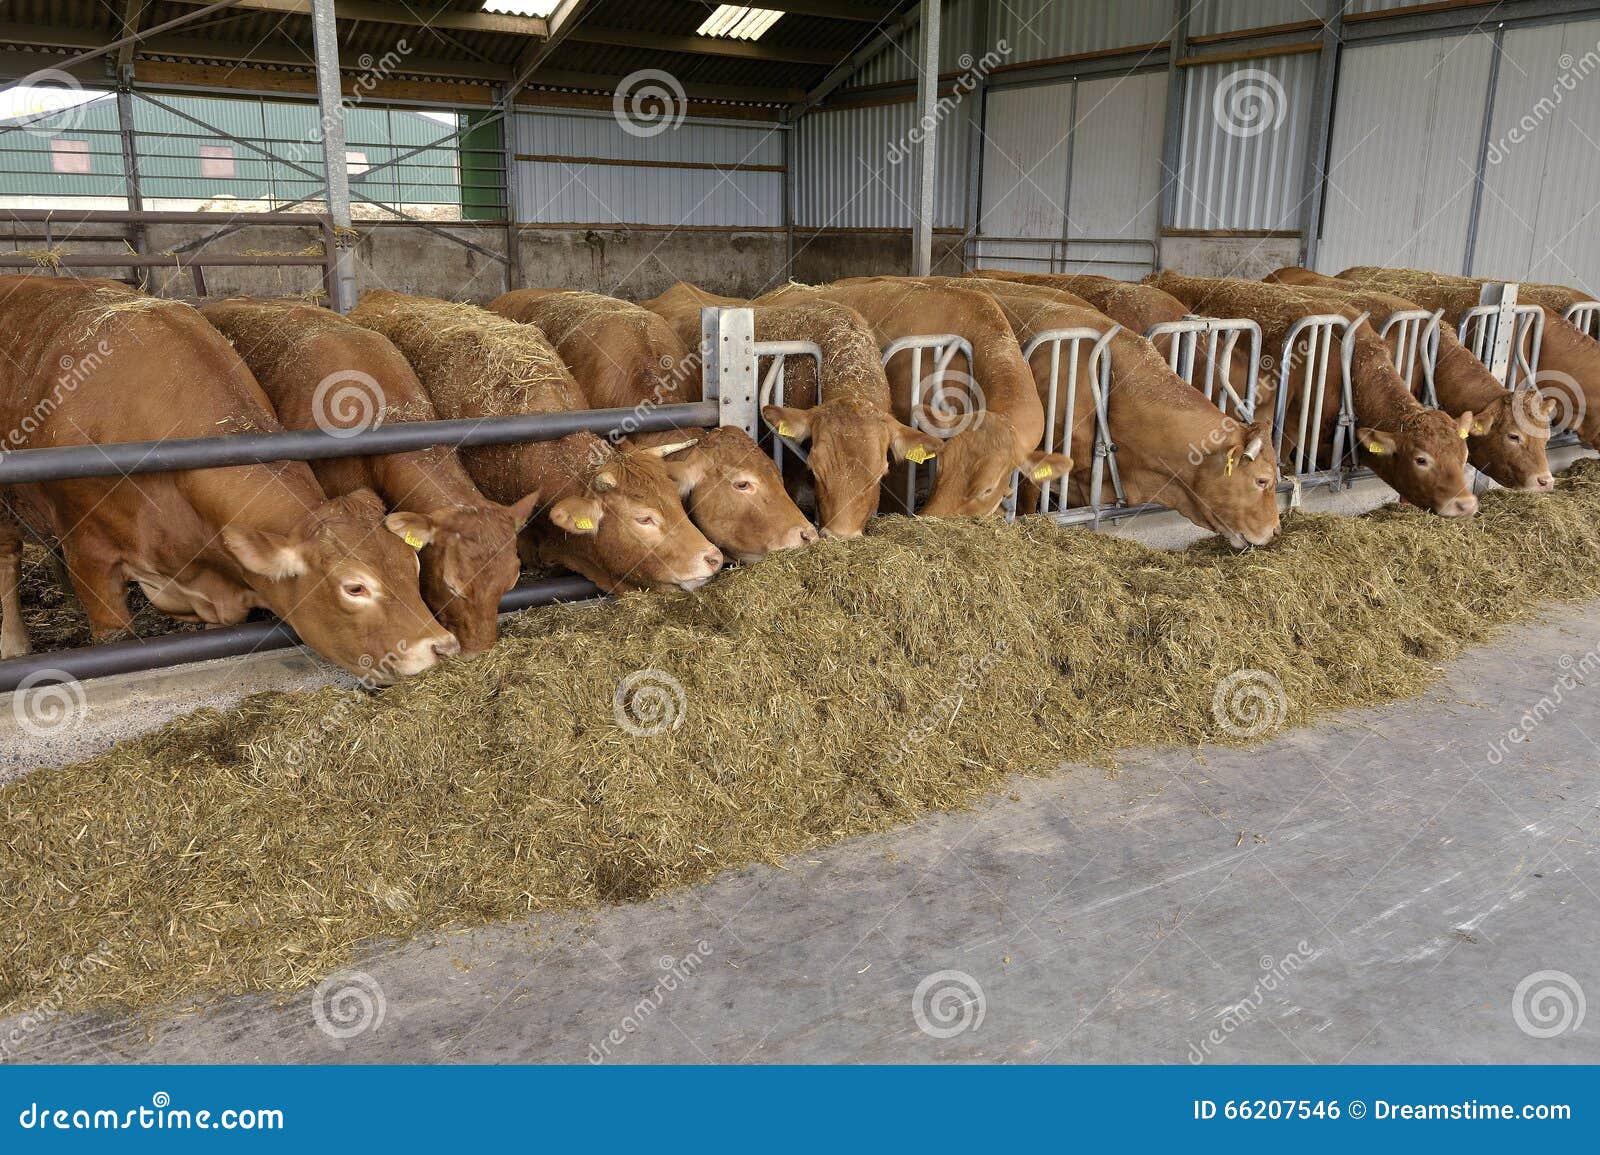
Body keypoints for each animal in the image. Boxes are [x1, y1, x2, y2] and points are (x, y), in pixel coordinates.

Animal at [0, 277, 457, 679]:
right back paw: (15, 647)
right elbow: (113, 636)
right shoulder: (91, 558)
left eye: (413, 564)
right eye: (355, 587)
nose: (440, 645)